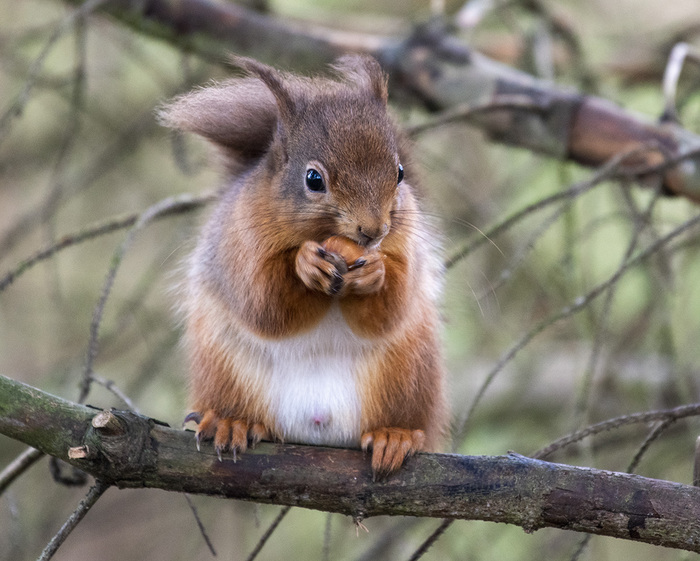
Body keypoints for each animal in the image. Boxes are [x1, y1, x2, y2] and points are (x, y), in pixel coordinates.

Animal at [159, 54, 448, 478]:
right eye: (313, 179)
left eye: (399, 173)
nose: (373, 230)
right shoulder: (238, 245)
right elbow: (264, 304)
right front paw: (305, 263)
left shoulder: (408, 250)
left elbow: (389, 310)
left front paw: (374, 272)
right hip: (225, 368)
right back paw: (233, 422)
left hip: (408, 374)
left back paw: (394, 435)